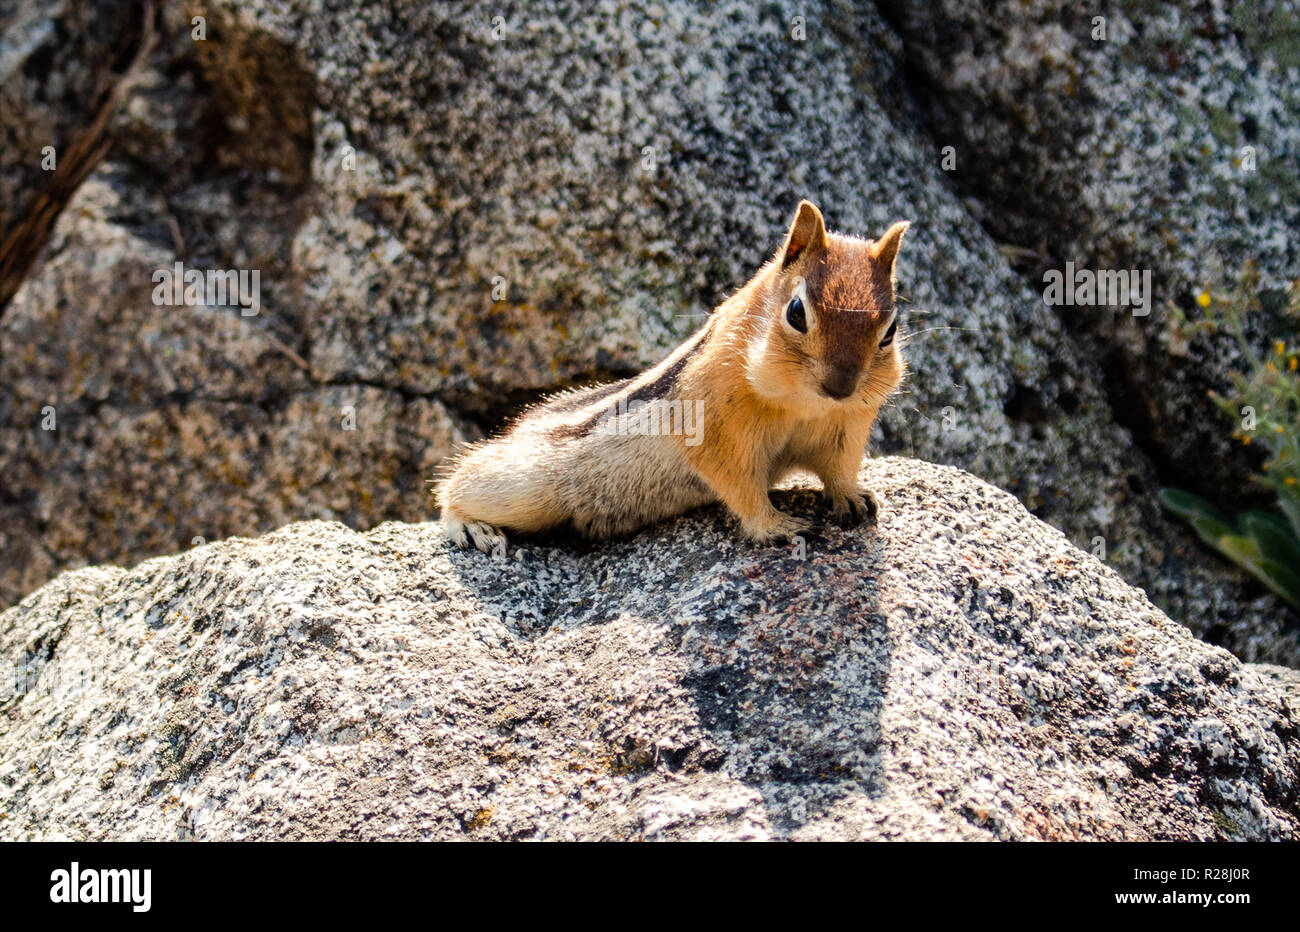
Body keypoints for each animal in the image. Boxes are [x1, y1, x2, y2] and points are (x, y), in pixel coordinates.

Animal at [436, 199, 909, 552]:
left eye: (890, 330)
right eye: (796, 312)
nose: (840, 387)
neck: (804, 405)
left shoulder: (846, 425)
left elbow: (839, 466)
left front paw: (853, 496)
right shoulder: (715, 425)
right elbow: (741, 486)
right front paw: (776, 524)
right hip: (525, 486)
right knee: (459, 482)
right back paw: (469, 526)